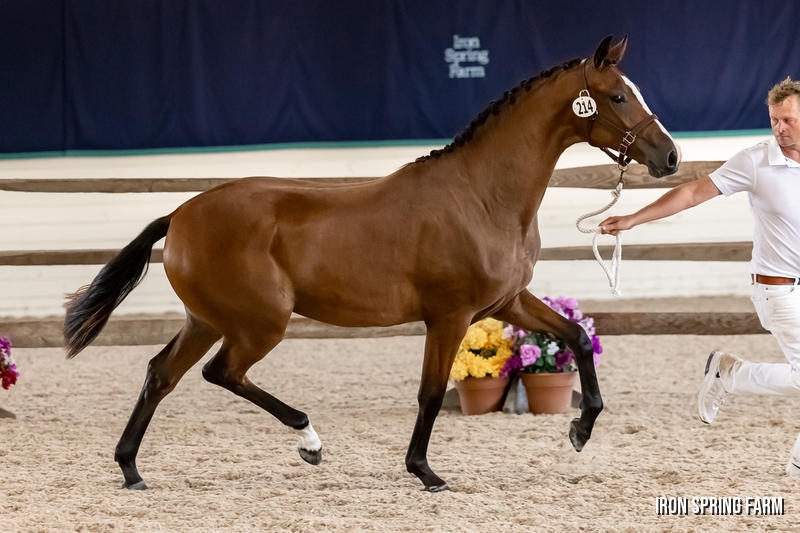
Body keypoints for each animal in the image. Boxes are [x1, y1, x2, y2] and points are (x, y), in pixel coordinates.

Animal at [64, 35, 679, 492]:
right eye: (618, 96)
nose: (670, 157)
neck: (481, 195)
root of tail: (180, 215)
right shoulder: (450, 316)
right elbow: (430, 392)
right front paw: (426, 473)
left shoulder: (506, 302)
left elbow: (576, 337)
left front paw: (580, 429)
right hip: (258, 323)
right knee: (222, 373)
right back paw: (309, 441)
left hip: (208, 320)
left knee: (161, 375)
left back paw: (131, 469)